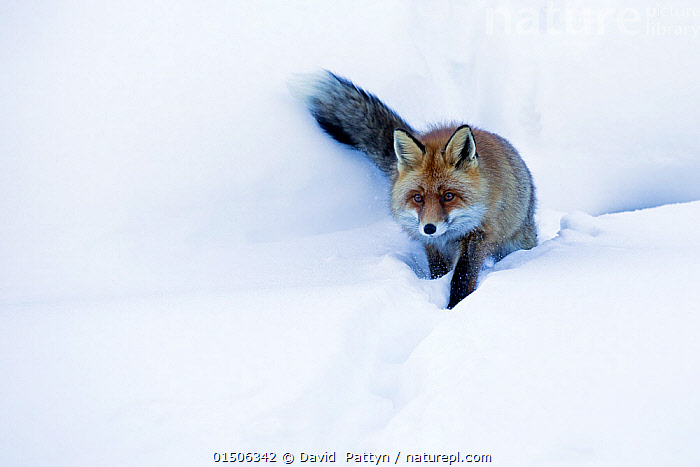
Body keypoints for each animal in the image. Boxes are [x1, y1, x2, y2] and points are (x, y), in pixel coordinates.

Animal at [292, 70, 537, 308]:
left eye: (448, 196)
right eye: (418, 198)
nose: (429, 227)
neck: (448, 236)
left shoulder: (478, 234)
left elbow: (462, 276)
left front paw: (455, 306)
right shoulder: (430, 244)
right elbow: (440, 272)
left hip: (517, 241)